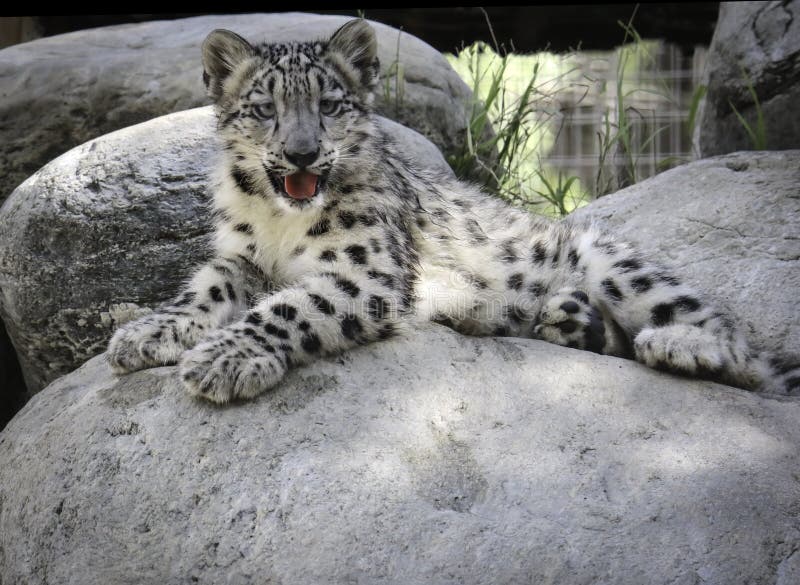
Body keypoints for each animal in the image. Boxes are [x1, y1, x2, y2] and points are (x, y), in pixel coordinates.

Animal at [107, 19, 799, 403]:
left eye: (329, 104)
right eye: (263, 108)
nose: (301, 153)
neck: (282, 224)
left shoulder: (364, 271)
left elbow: (289, 309)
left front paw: (222, 360)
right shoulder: (242, 255)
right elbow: (207, 286)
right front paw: (147, 332)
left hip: (618, 264)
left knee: (748, 356)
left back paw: (679, 345)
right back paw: (568, 318)